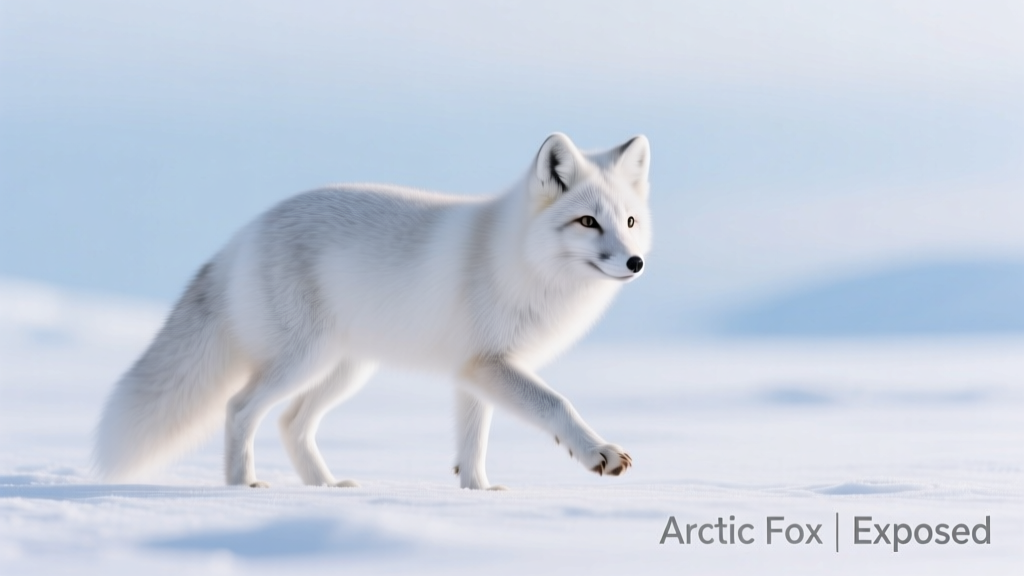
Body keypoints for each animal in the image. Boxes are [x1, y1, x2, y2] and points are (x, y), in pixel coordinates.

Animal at [95, 133, 652, 490]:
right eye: (587, 222)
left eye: (629, 221)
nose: (635, 262)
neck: (524, 262)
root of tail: (243, 234)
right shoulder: (490, 364)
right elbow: (557, 404)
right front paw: (597, 452)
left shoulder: (473, 373)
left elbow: (472, 446)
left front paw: (478, 495)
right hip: (303, 361)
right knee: (239, 409)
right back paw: (242, 487)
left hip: (346, 370)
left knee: (291, 424)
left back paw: (326, 488)